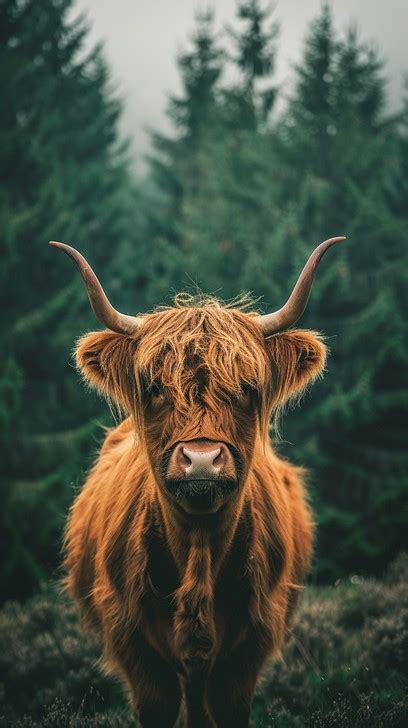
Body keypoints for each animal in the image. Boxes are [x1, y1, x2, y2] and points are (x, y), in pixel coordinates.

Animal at [51, 236, 345, 728]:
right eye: (154, 388)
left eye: (247, 388)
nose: (203, 461)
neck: (199, 552)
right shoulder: (134, 646)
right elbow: (159, 705)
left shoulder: (249, 647)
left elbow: (225, 708)